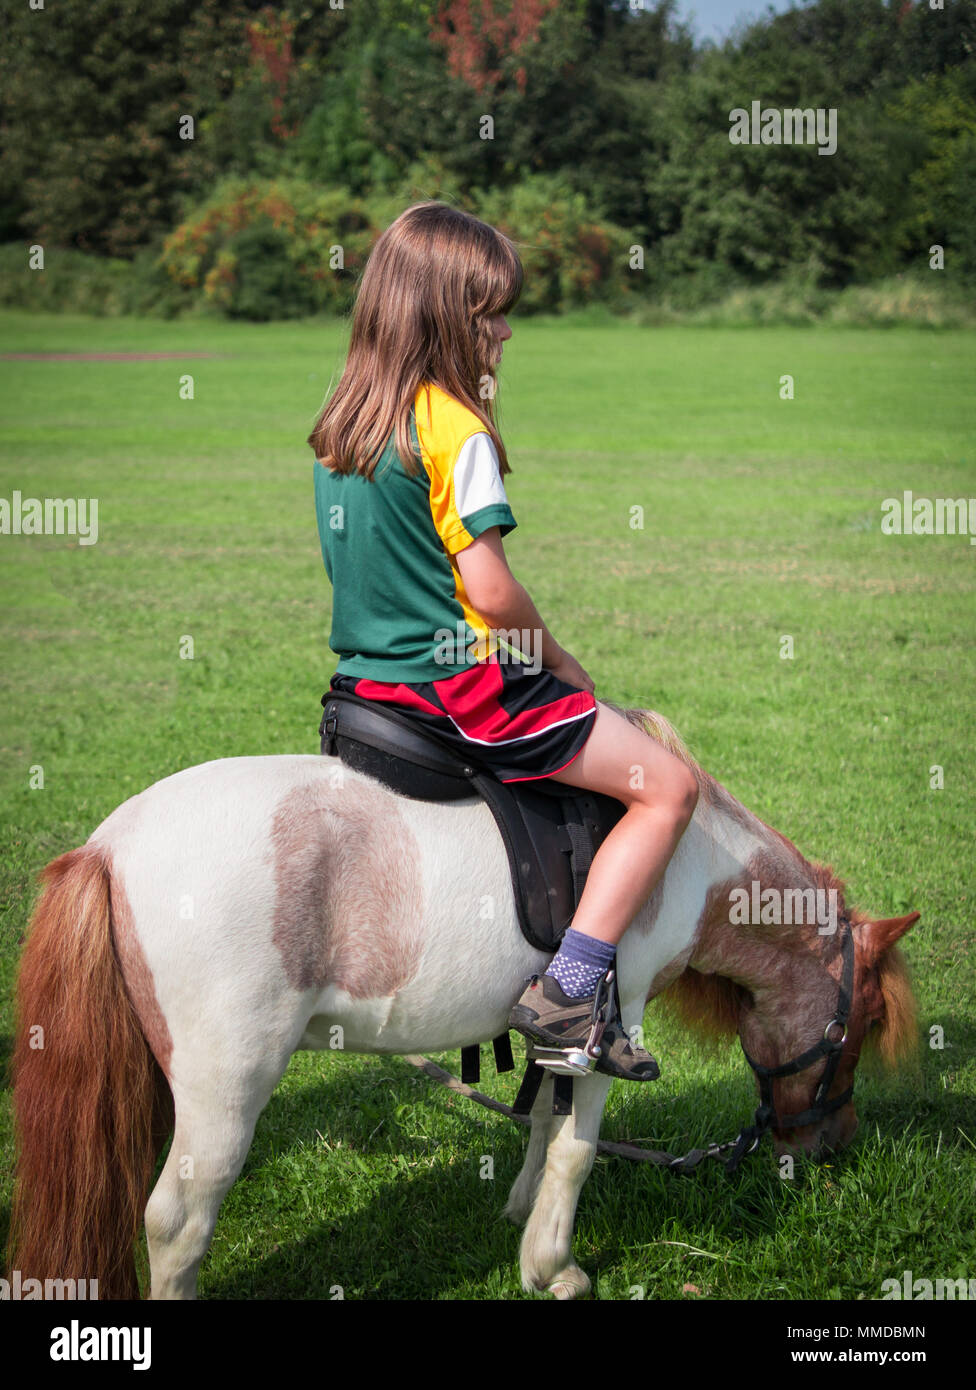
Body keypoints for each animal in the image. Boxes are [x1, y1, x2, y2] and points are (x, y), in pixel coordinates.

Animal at [6, 706, 919, 1300]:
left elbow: (545, 1124)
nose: (835, 1144)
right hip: (226, 1088)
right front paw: (554, 1268)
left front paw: (521, 1217)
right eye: (861, 1027)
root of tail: (110, 843)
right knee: (177, 1223)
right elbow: (578, 1150)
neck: (690, 857)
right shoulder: (613, 1028)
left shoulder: (558, 1029)